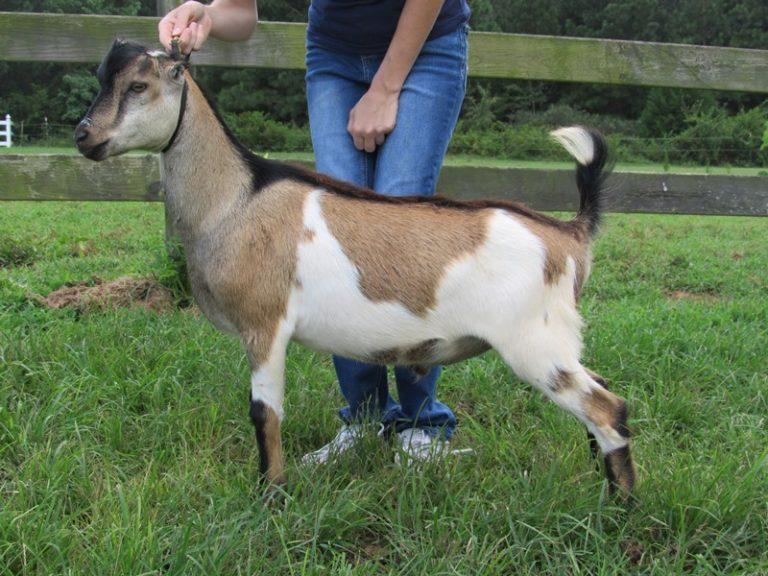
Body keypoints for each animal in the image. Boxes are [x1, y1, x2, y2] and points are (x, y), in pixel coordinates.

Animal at [75, 39, 635, 495]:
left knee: (608, 408)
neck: (236, 199)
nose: (84, 136)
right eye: (101, 80)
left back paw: (620, 511)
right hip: (558, 340)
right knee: (600, 391)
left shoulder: (265, 325)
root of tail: (569, 233)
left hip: (532, 342)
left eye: (139, 85)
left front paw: (271, 495)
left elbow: (265, 414)